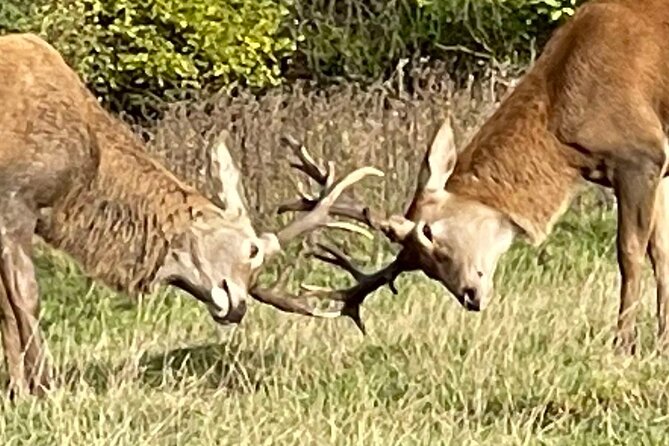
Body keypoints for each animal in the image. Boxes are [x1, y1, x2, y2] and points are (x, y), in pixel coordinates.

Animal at [0, 32, 384, 396]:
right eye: (252, 249)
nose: (238, 307)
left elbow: (6, 310)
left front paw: (18, 391)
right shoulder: (16, 200)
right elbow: (26, 298)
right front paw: (43, 387)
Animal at [273, 0, 669, 356]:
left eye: (429, 232)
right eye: (424, 268)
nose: (470, 296)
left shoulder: (639, 155)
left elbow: (629, 252)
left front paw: (624, 345)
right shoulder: (660, 166)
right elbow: (660, 250)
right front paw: (662, 339)